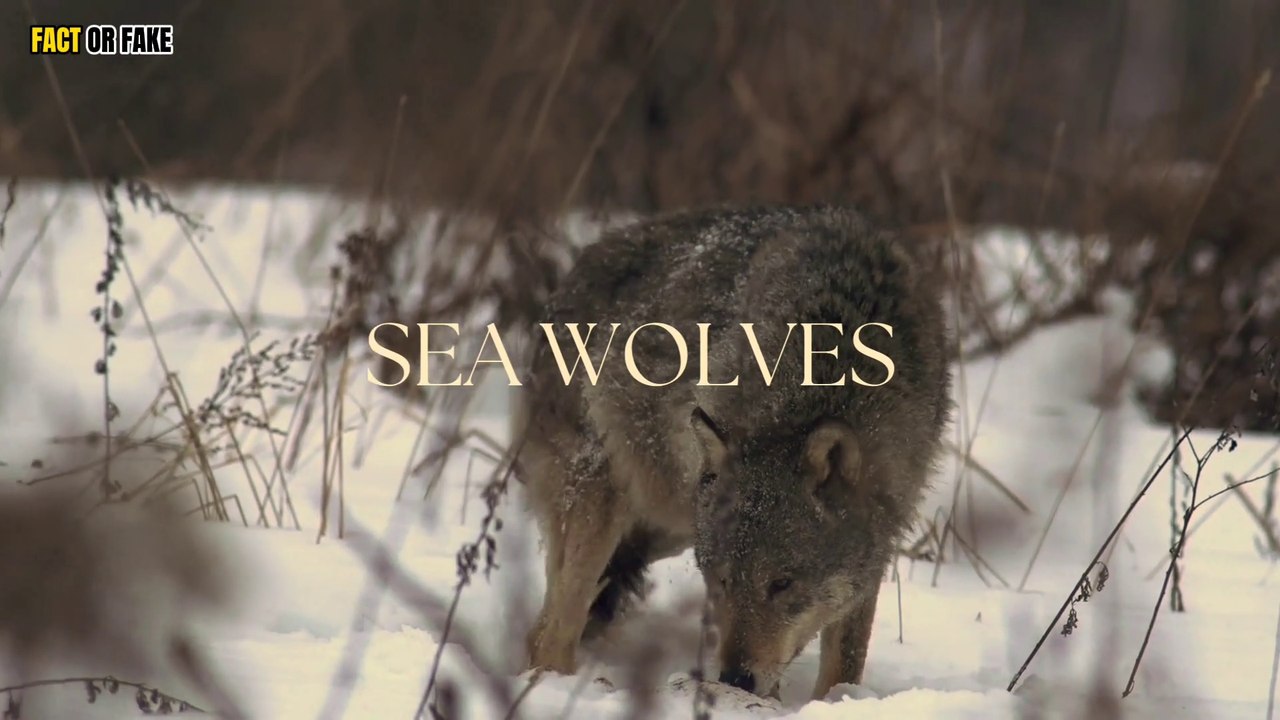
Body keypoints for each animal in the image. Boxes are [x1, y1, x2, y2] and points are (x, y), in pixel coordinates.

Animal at [515, 204, 952, 699]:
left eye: (782, 584)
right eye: (722, 581)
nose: (735, 680)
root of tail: (572, 273)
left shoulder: (882, 532)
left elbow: (845, 661)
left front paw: (836, 702)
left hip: (671, 522)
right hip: (609, 505)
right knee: (549, 633)